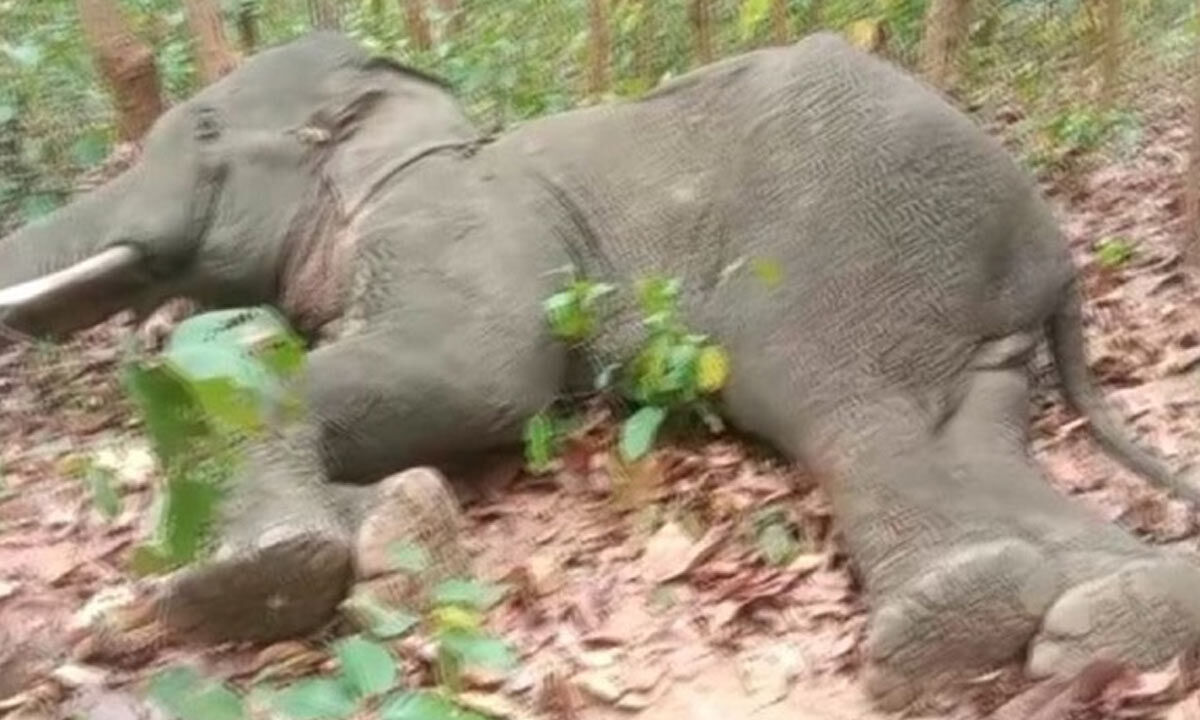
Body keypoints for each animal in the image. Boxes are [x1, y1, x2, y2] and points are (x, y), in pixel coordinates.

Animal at [3, 29, 1200, 710]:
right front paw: (388, 538)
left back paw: (957, 634)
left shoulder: (464, 222)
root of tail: (1049, 246)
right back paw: (1108, 621)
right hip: (962, 305)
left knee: (834, 406)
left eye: (204, 132)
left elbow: (481, 375)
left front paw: (246, 583)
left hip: (859, 232)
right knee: (966, 431)